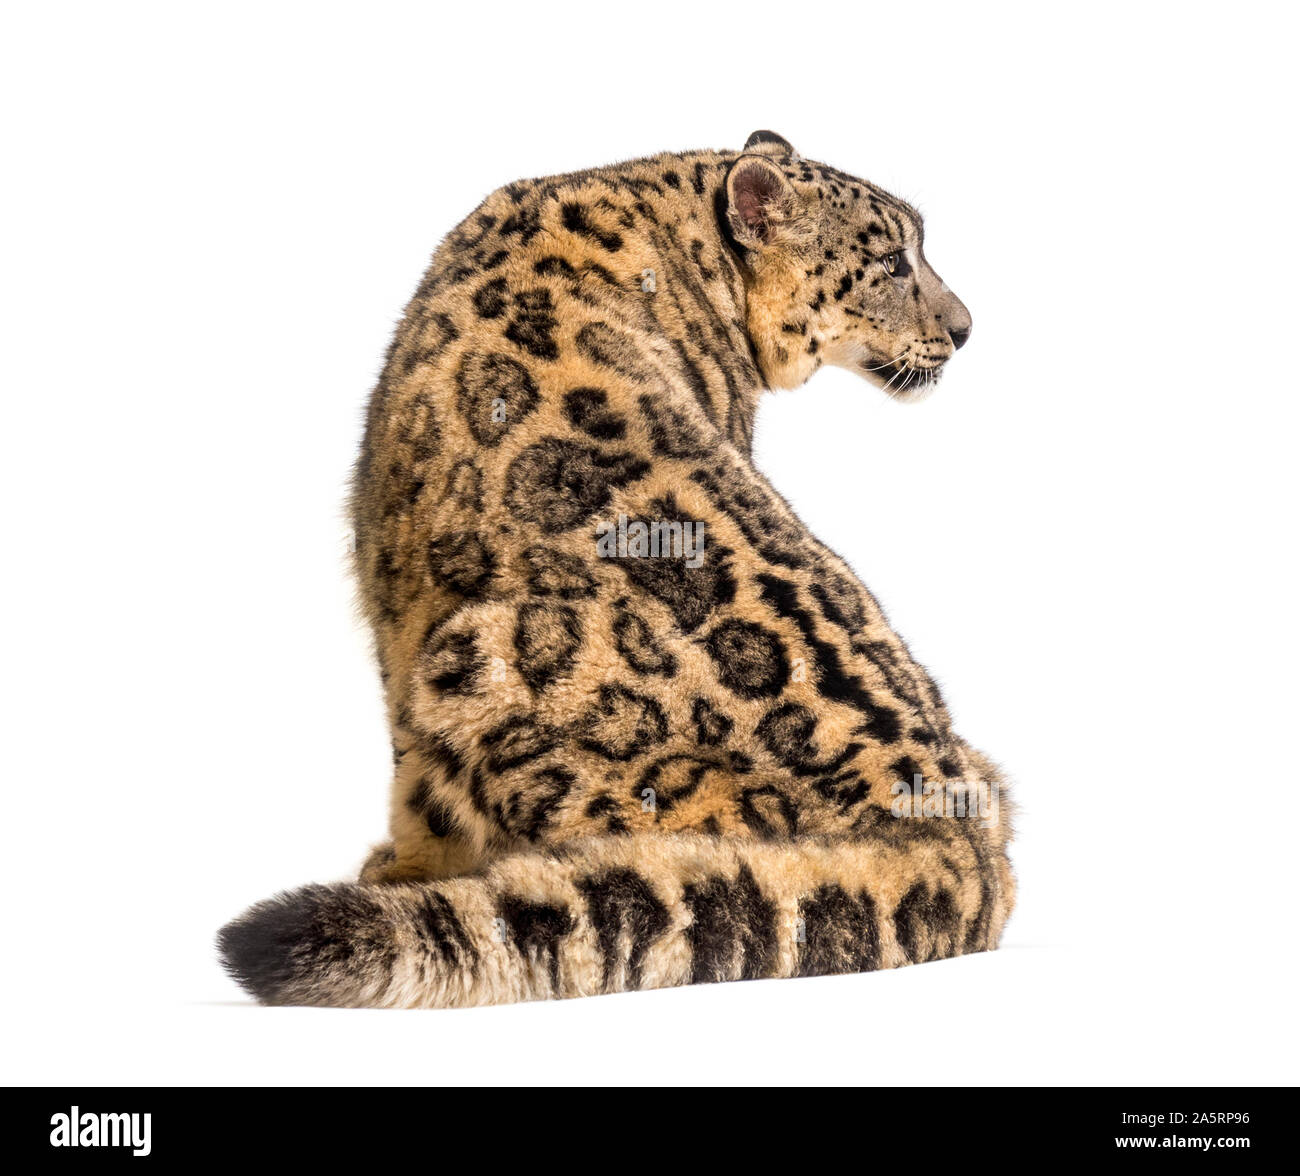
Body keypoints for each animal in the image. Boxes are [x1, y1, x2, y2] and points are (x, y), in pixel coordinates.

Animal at [218, 130, 1015, 1008]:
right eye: (892, 260)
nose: (966, 327)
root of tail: (951, 823)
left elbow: (414, 783)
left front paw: (399, 868)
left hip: (490, 673)